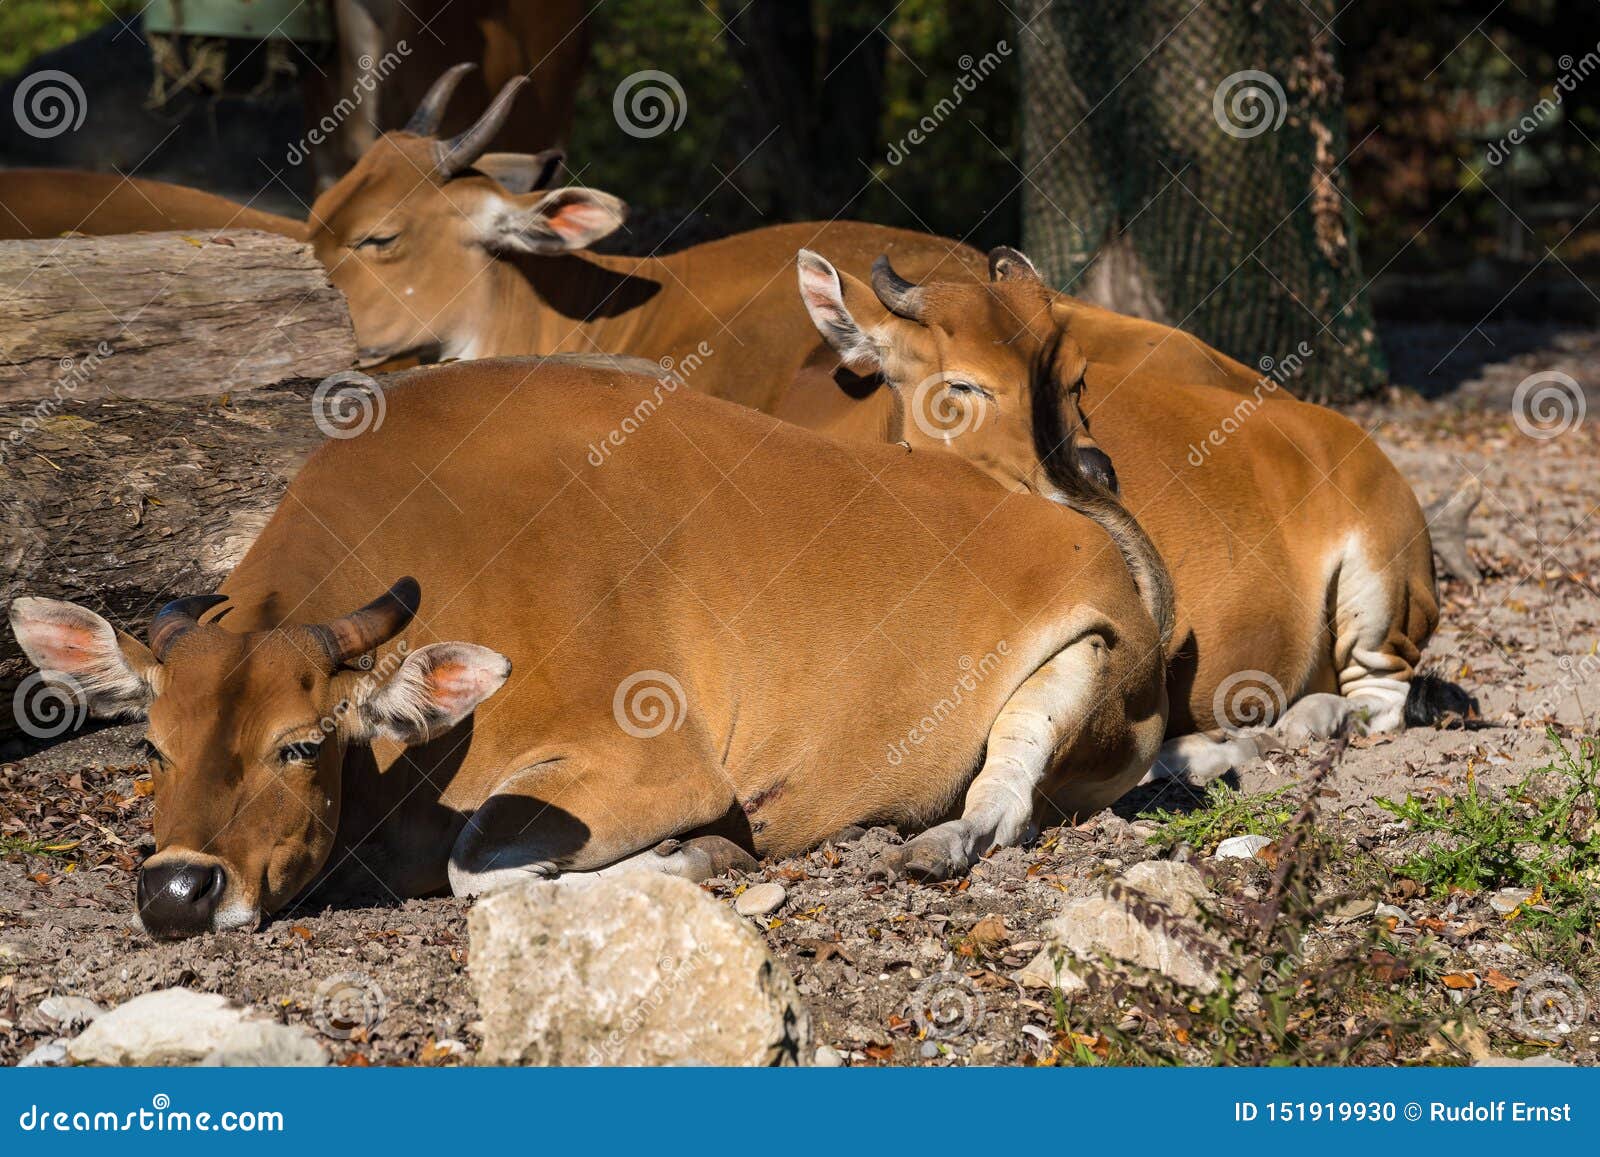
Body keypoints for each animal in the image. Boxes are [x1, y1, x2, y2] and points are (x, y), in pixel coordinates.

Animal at [8, 356, 1170, 939]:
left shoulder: (651, 762)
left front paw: (701, 855)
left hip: (1090, 664)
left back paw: (946, 838)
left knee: (1009, 792)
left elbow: (480, 865)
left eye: (300, 744)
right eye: (153, 746)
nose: (175, 894)